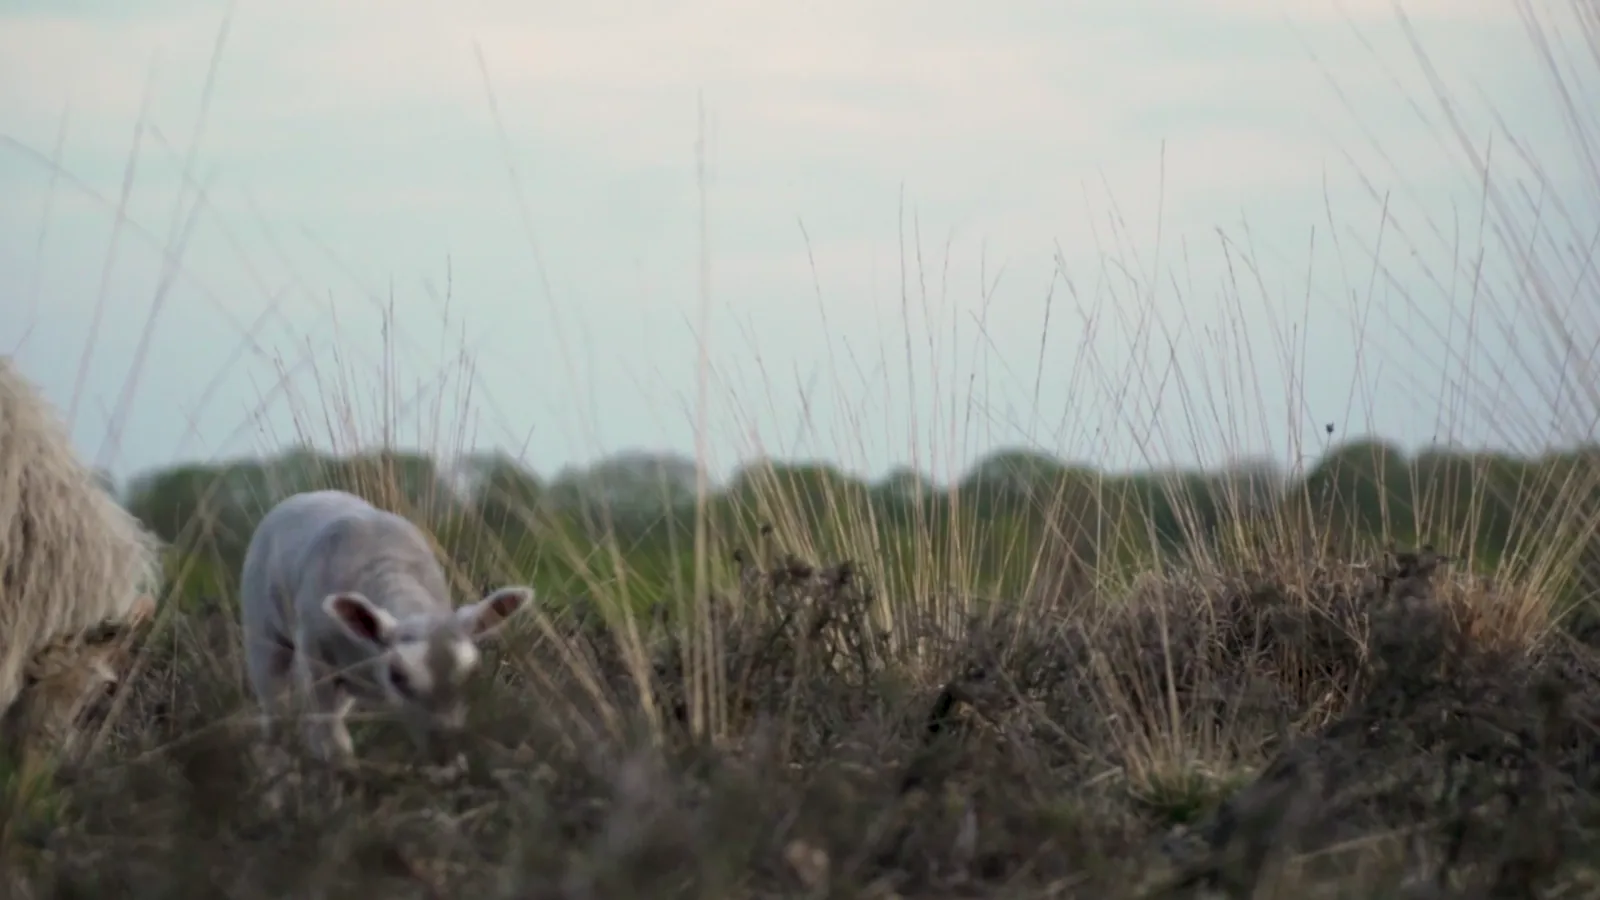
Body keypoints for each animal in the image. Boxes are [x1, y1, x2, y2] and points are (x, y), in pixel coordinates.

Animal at [239, 488, 533, 766]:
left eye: (472, 674)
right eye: (398, 676)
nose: (445, 752)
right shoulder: (315, 663)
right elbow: (328, 731)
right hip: (262, 633)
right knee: (274, 702)